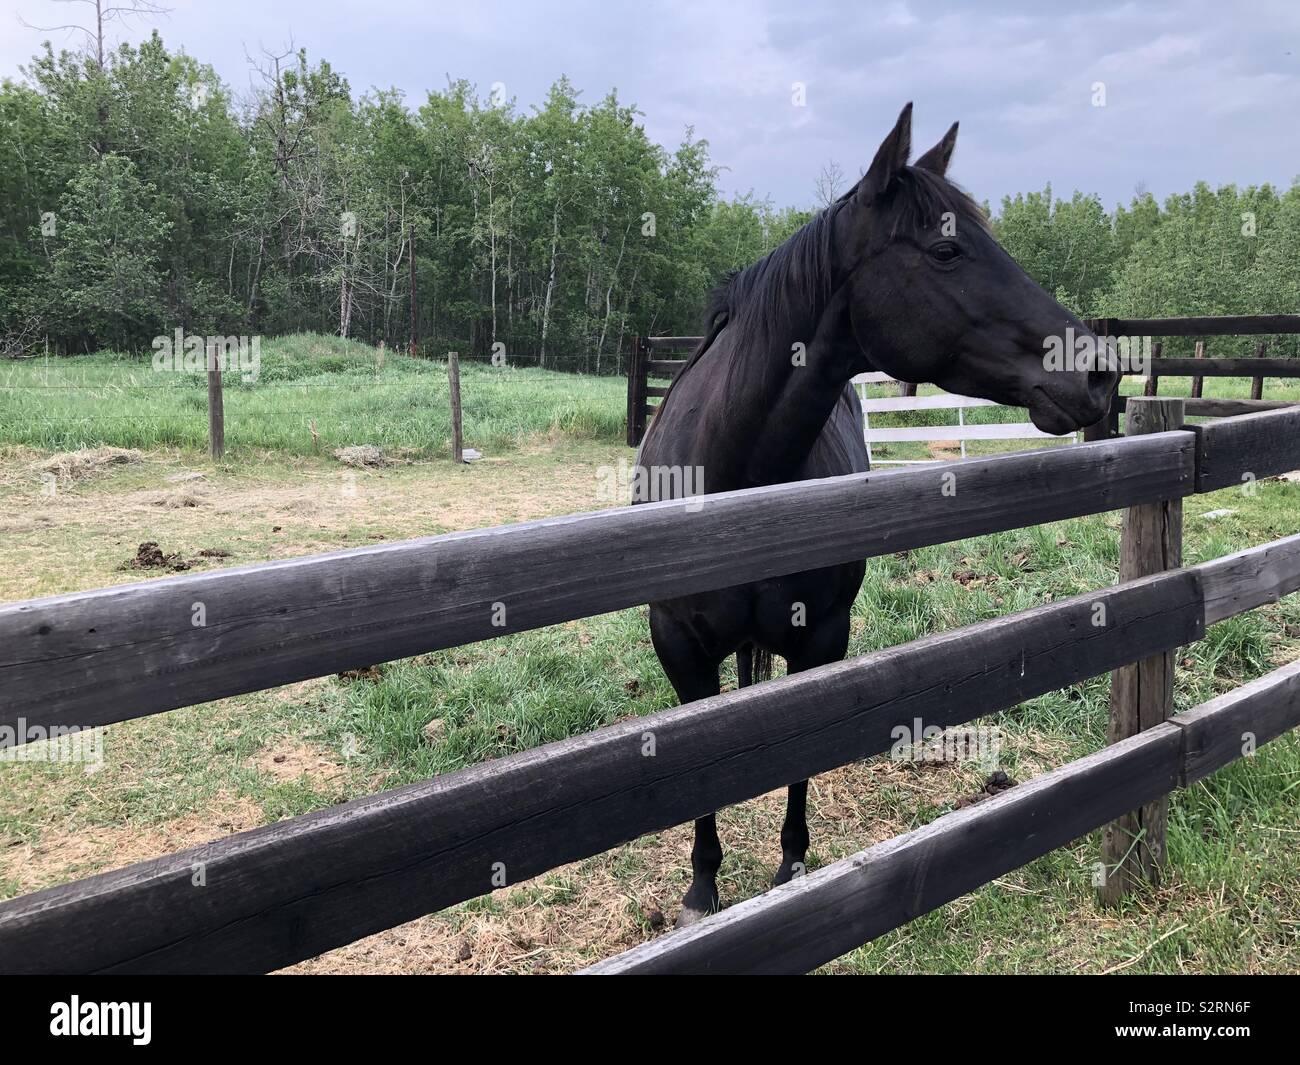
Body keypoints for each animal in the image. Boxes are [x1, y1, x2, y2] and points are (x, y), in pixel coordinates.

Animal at [634, 103, 1120, 927]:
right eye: (946, 249)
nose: (1097, 372)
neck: (732, 483)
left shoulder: (822, 637)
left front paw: (792, 865)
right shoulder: (680, 649)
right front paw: (702, 888)